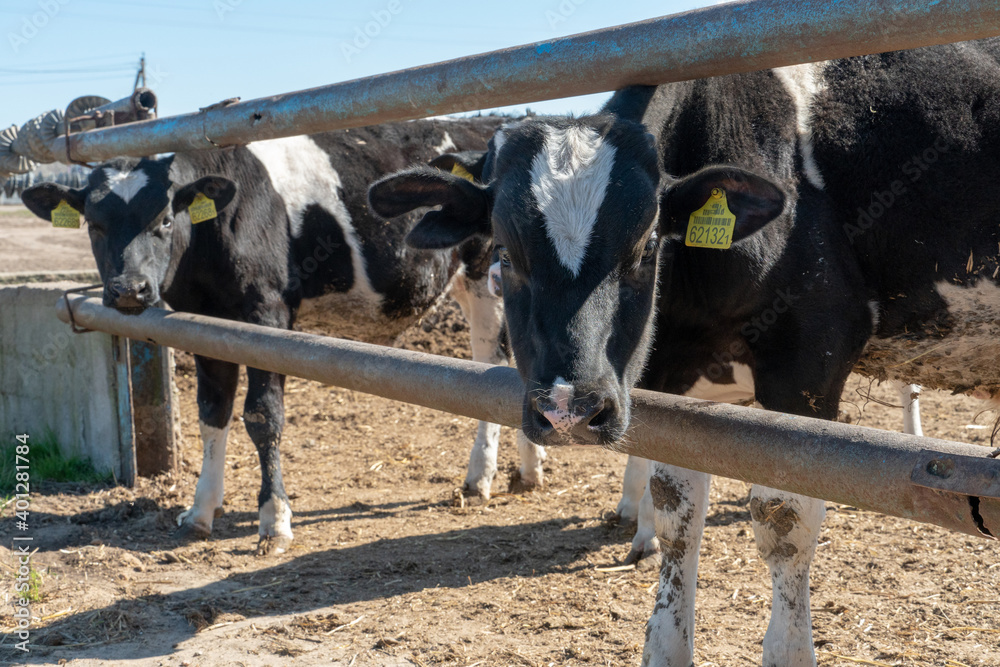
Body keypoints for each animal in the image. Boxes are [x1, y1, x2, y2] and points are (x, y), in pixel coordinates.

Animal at [20, 117, 547, 555]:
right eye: (93, 223)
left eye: (165, 220)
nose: (129, 290)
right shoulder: (203, 321)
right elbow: (212, 412)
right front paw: (201, 510)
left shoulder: (267, 314)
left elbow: (262, 416)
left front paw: (273, 521)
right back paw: (522, 470)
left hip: (485, 276)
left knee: (494, 357)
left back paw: (484, 475)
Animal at [368, 39, 1000, 666]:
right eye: (504, 248)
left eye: (647, 243)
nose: (569, 409)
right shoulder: (670, 380)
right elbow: (676, 511)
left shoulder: (809, 358)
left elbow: (785, 519)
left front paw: (788, 648)